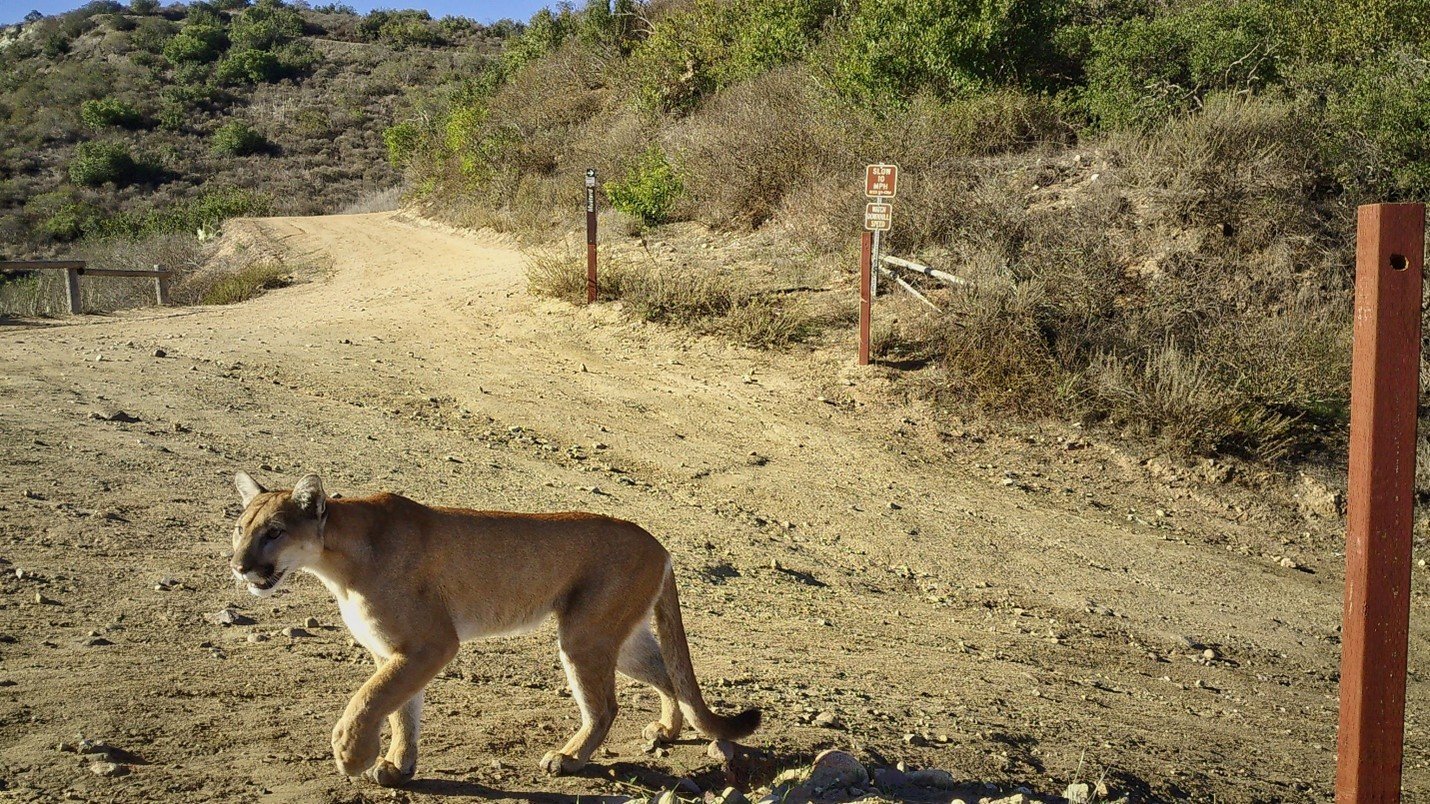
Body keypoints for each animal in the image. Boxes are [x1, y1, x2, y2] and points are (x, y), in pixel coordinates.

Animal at [228, 471, 760, 787]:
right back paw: (667, 729)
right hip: (614, 635)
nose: (238, 566)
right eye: (239, 528)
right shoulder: (394, 650)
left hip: (583, 634)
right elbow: (400, 709)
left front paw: (352, 754)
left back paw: (569, 758)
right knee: (667, 674)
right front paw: (398, 765)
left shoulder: (432, 643)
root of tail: (660, 543)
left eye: (274, 531)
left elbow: (370, 698)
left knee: (606, 705)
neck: (335, 561)